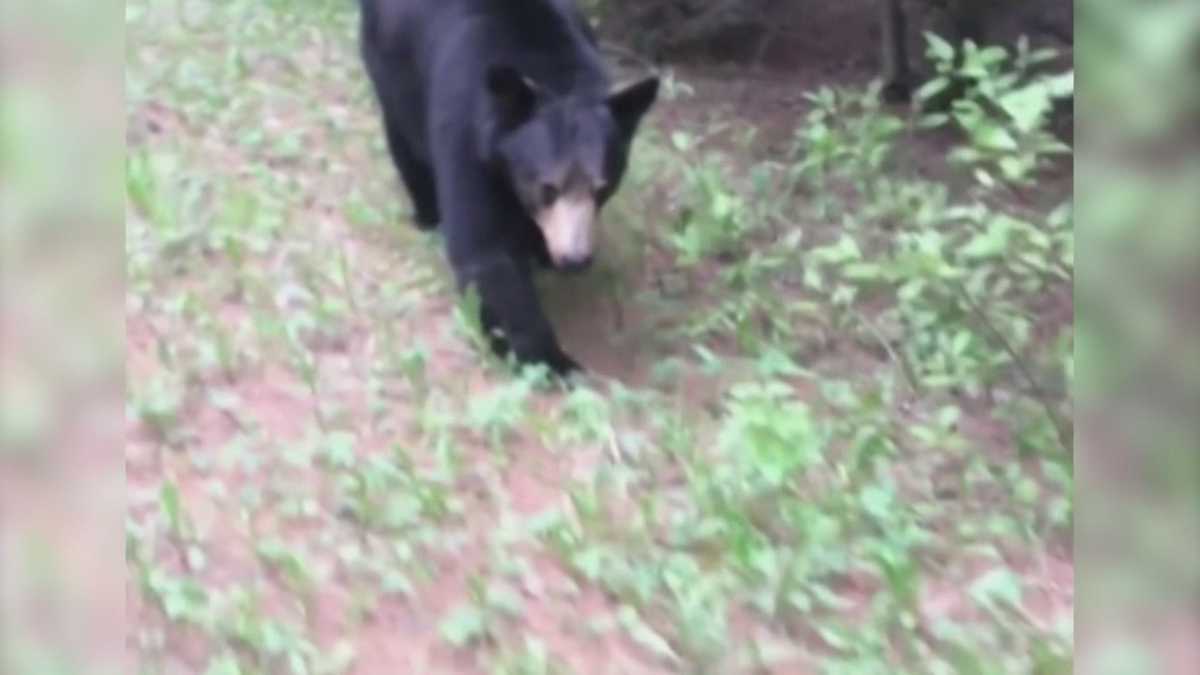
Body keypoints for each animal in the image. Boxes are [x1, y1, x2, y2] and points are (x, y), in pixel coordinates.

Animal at [357, 0, 659, 375]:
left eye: (601, 188)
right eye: (548, 187)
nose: (575, 259)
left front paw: (541, 252)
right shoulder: (465, 130)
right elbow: (486, 251)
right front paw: (554, 360)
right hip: (389, 64)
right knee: (403, 139)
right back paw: (427, 213)